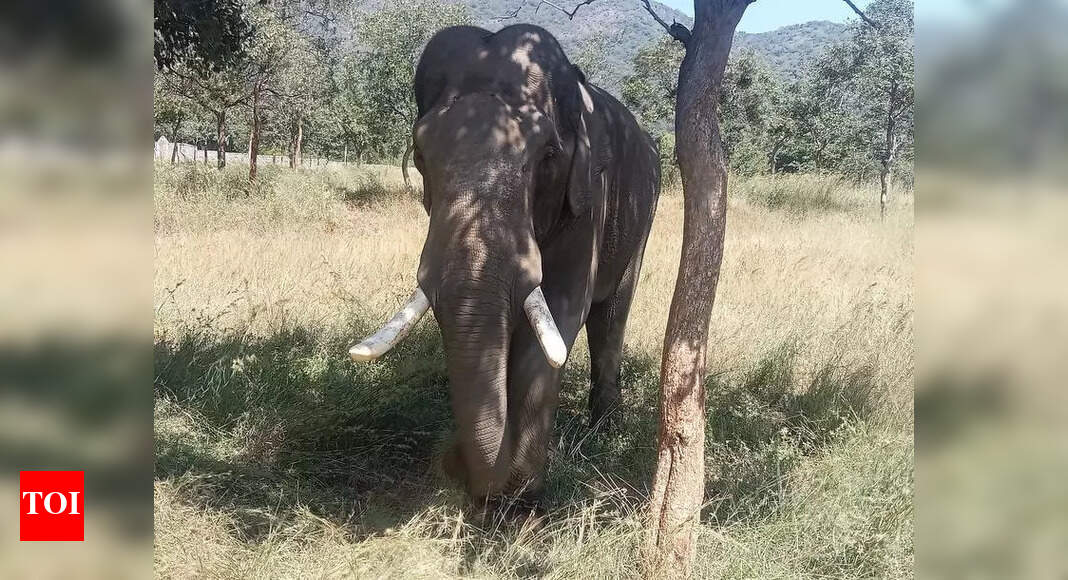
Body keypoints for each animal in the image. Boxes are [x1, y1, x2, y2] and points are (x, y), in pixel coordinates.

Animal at [349, 24, 660, 505]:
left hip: (642, 214)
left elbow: (562, 311)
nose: (451, 463)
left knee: (611, 315)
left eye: (549, 155)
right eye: (419, 154)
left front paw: (522, 494)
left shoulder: (589, 198)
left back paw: (603, 432)